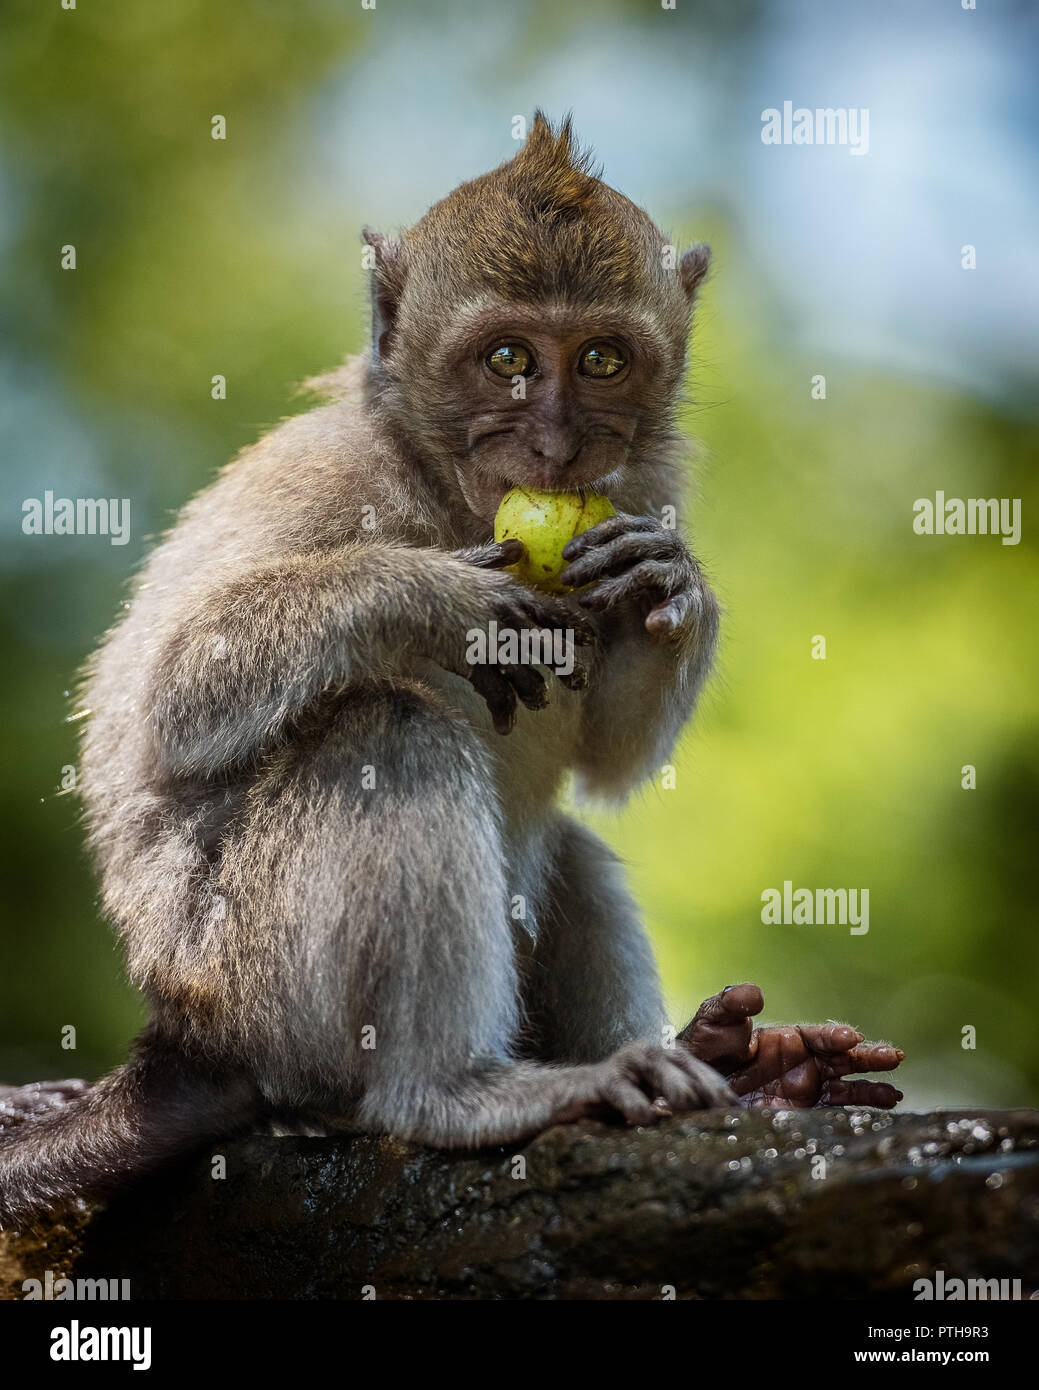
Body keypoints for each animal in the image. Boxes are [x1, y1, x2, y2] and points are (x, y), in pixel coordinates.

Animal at [0, 114, 903, 1229]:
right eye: (506, 357)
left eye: (601, 359)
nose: (555, 444)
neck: (447, 490)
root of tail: (186, 1036)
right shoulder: (333, 476)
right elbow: (174, 689)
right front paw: (440, 601)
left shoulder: (642, 487)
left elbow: (607, 754)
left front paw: (671, 584)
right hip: (258, 988)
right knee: (386, 728)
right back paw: (454, 1091)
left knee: (566, 846)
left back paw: (738, 1067)